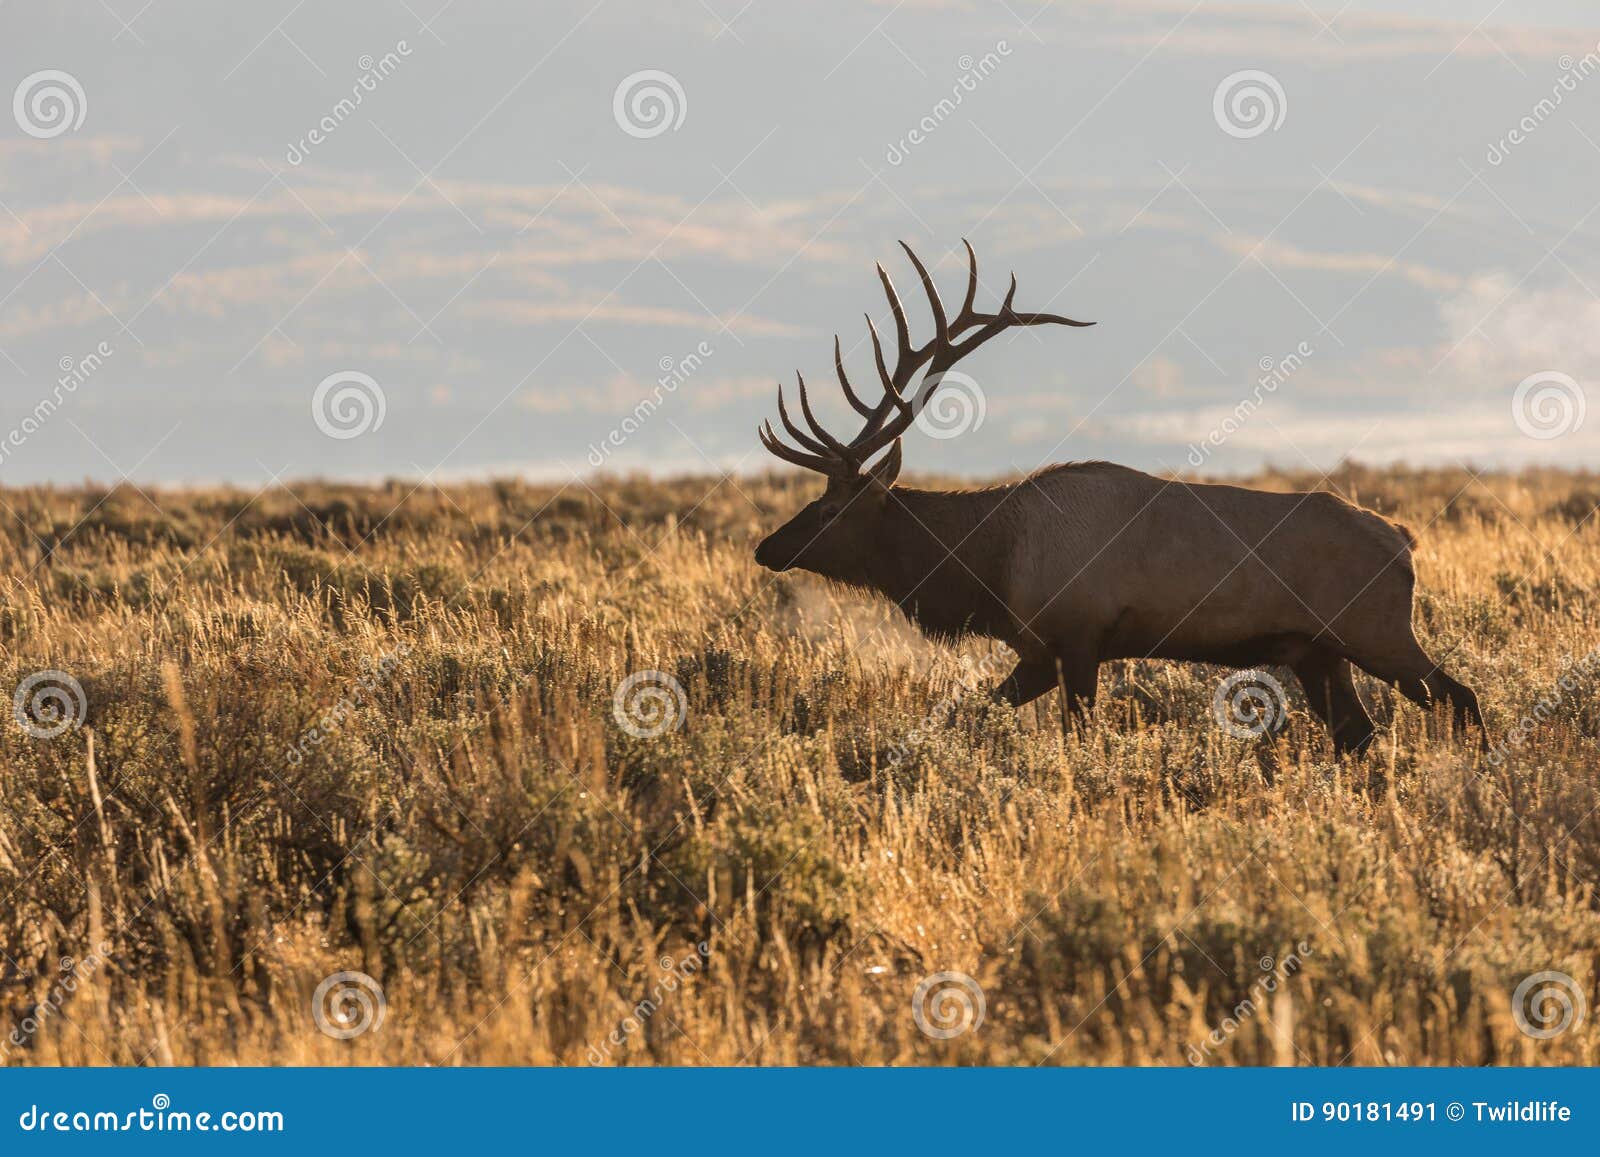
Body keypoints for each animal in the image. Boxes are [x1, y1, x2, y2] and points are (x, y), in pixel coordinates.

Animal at [752, 240, 1484, 756]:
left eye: (831, 509)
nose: (767, 548)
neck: (992, 562)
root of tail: (1403, 544)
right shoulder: (1040, 651)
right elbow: (976, 711)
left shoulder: (1076, 636)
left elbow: (1075, 736)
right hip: (1316, 651)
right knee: (1359, 736)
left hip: (1377, 631)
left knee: (1462, 701)